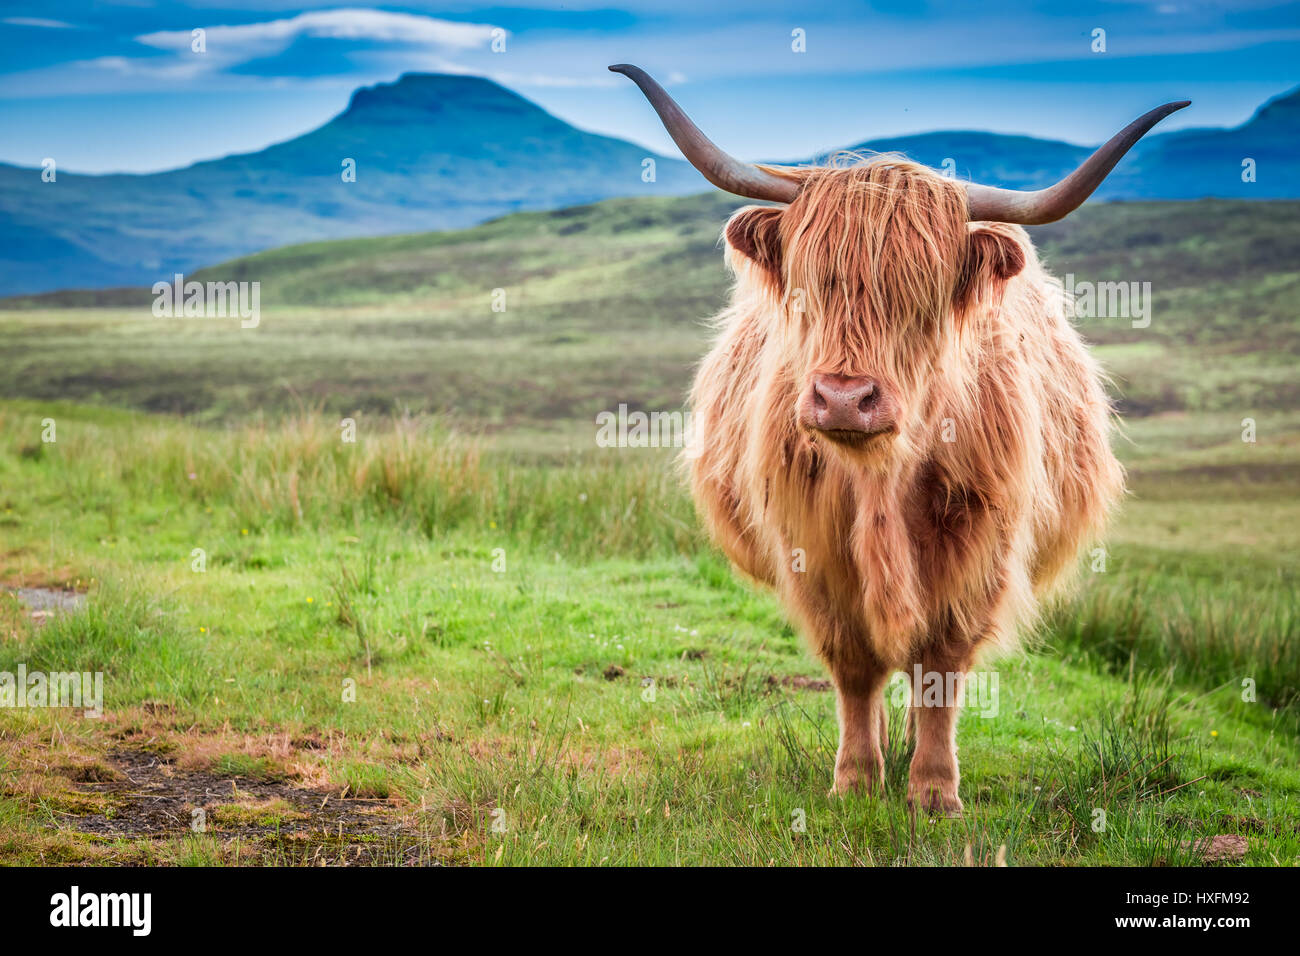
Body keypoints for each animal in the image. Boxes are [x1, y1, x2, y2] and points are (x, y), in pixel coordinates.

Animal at [611, 64, 1188, 814]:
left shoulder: (978, 550)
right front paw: (856, 778)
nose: (843, 398)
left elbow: (940, 665)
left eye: (922, 294)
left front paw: (935, 790)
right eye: (809, 286)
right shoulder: (814, 553)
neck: (881, 477)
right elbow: (855, 668)